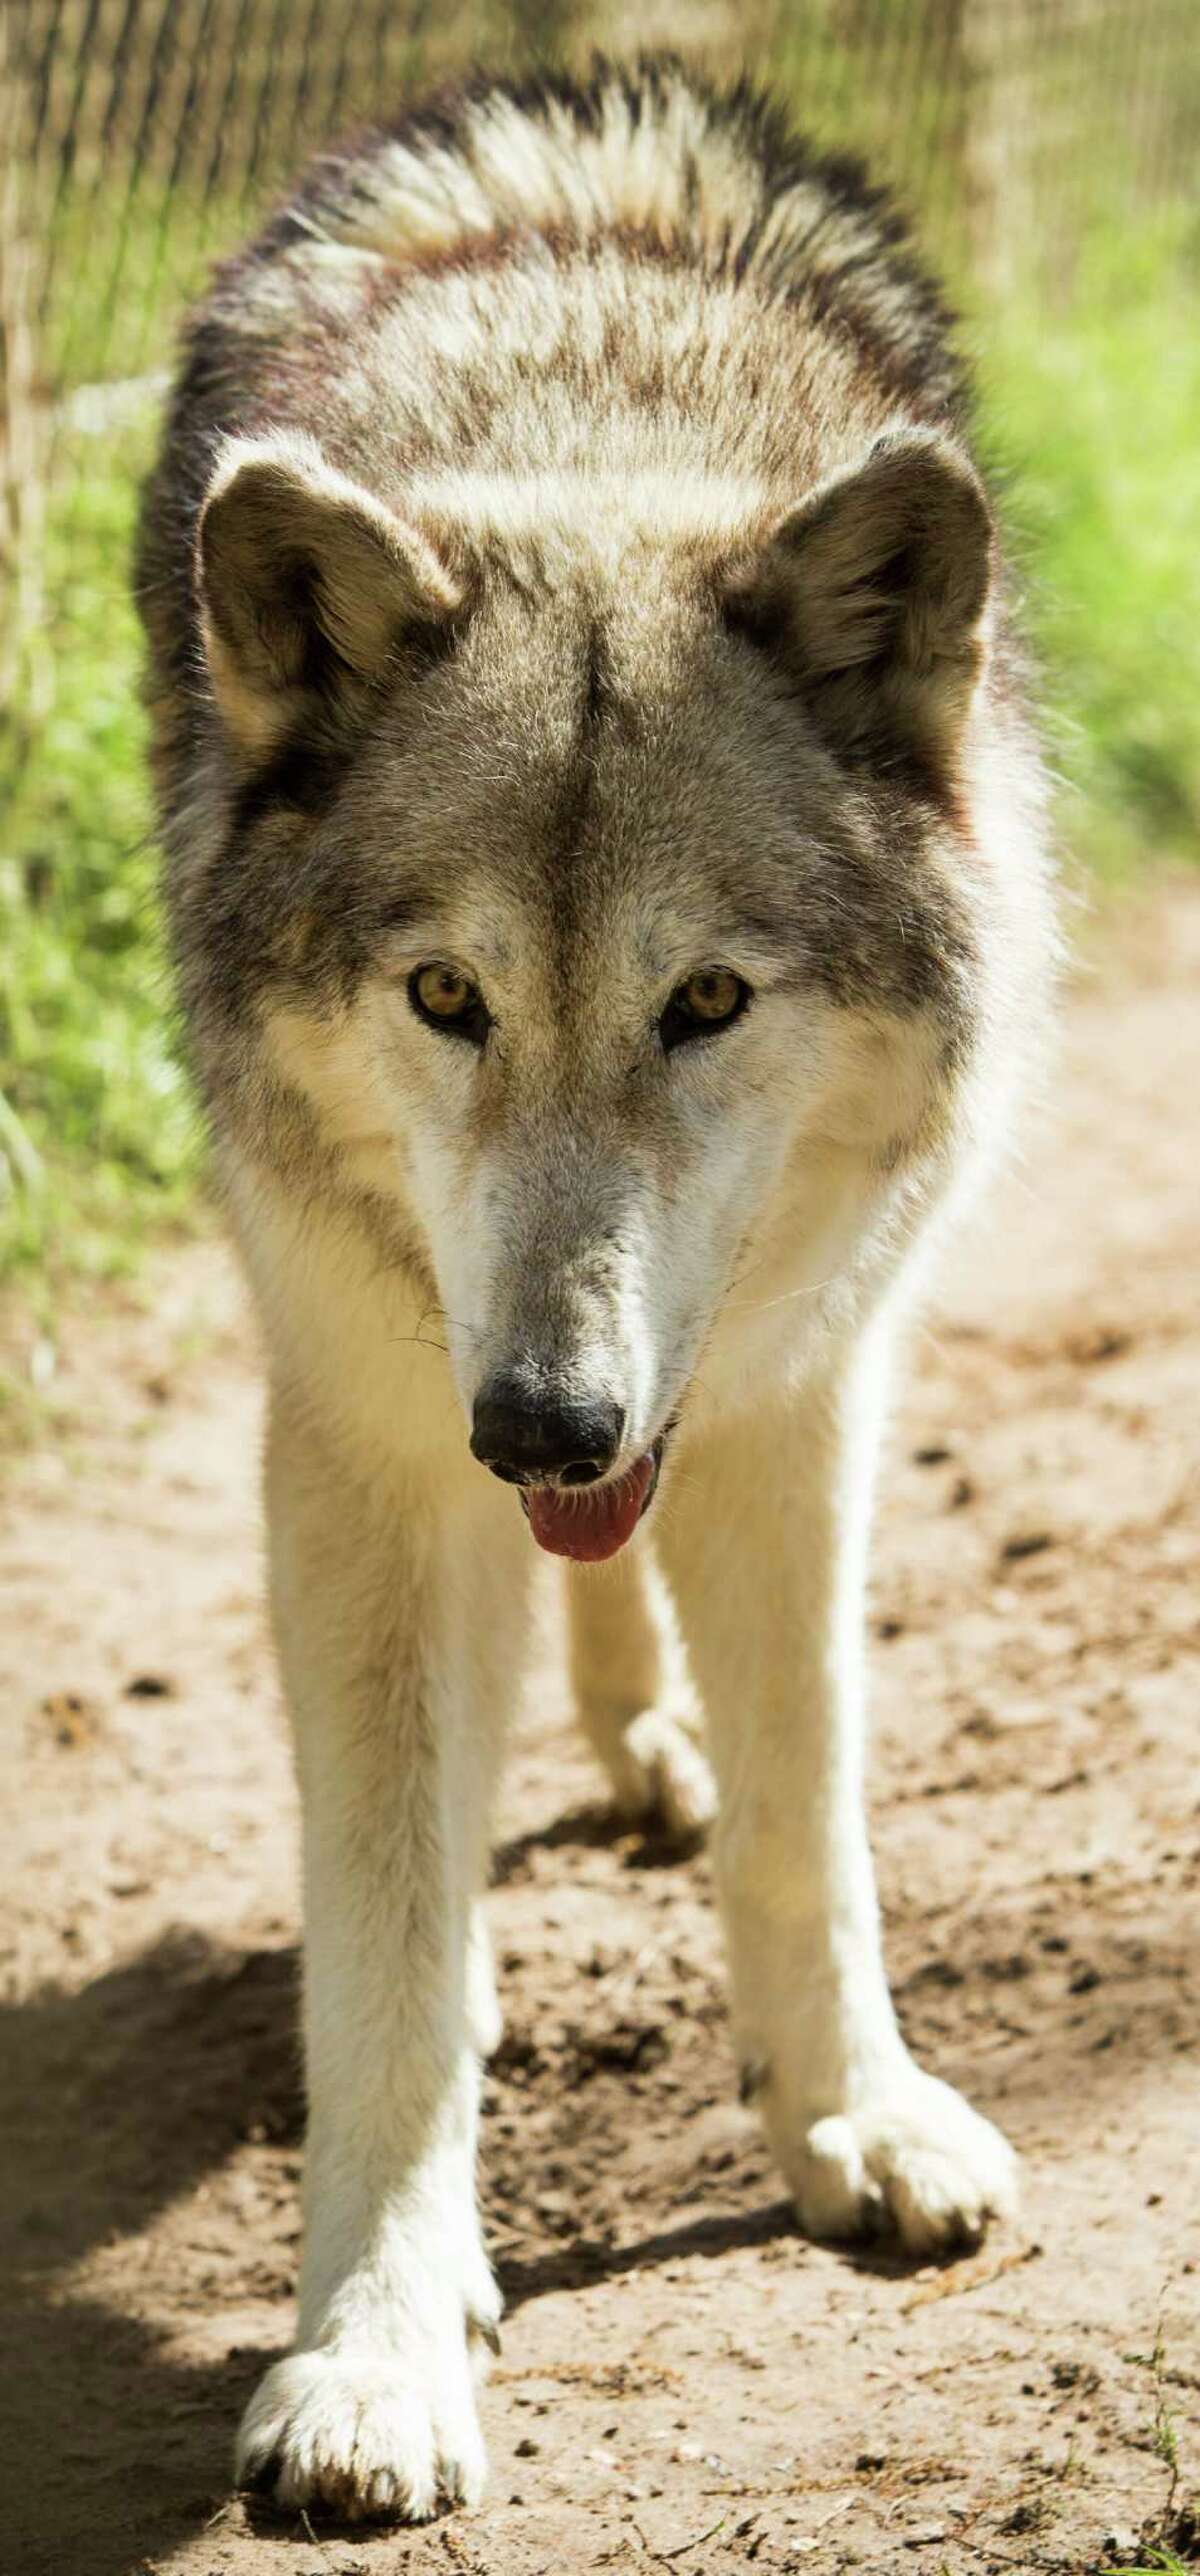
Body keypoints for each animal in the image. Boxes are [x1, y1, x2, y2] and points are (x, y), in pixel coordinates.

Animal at [136, 56, 1054, 2521]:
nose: (540, 1419)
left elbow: (813, 1815)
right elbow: (383, 1920)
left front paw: (855, 2118)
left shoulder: (801, 1397)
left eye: (707, 1001)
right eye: (447, 995)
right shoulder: (370, 1428)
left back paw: (648, 1740)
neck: (588, 420)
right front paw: (374, 2341)